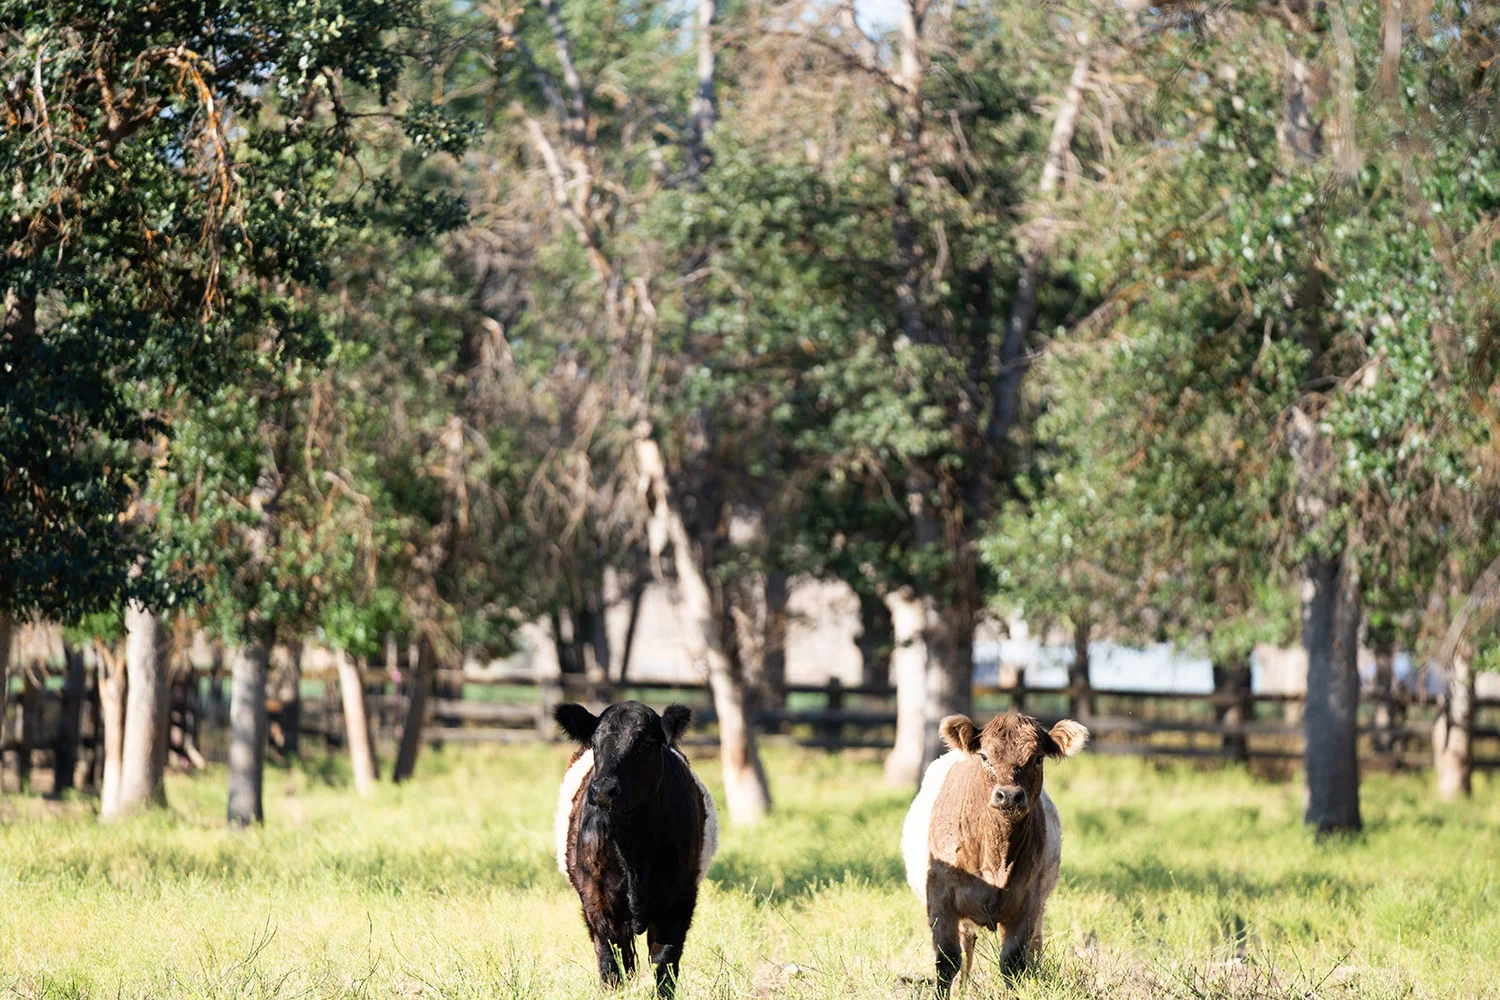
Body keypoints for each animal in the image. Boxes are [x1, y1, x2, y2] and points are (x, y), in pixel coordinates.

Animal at [553, 701, 718, 996]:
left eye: (645, 744)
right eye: (595, 742)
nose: (603, 789)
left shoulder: (679, 902)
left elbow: (664, 965)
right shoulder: (599, 903)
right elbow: (612, 964)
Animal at [900, 711, 1089, 994]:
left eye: (1037, 758)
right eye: (985, 756)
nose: (1009, 796)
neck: (996, 857)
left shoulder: (1027, 902)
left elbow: (1012, 963)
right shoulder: (940, 899)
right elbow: (947, 961)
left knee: (1034, 946)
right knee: (965, 951)